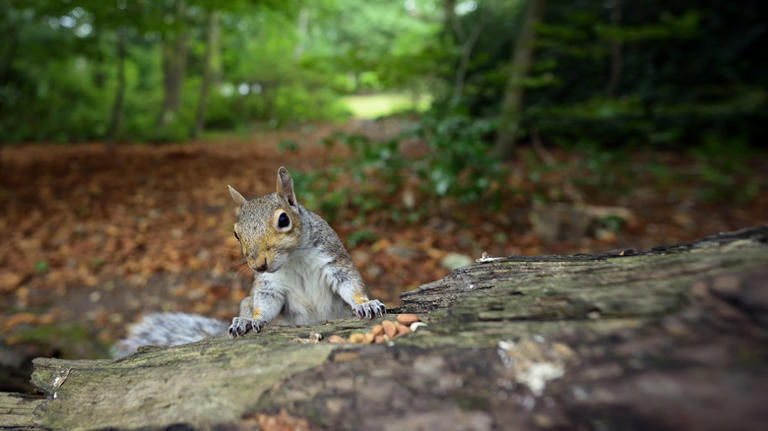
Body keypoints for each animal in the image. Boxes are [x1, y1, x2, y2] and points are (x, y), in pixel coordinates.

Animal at [114, 167, 385, 357]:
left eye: (284, 220)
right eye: (236, 233)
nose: (258, 265)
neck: (293, 260)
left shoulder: (333, 260)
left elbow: (350, 285)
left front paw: (366, 304)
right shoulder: (269, 286)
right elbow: (264, 306)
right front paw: (252, 320)